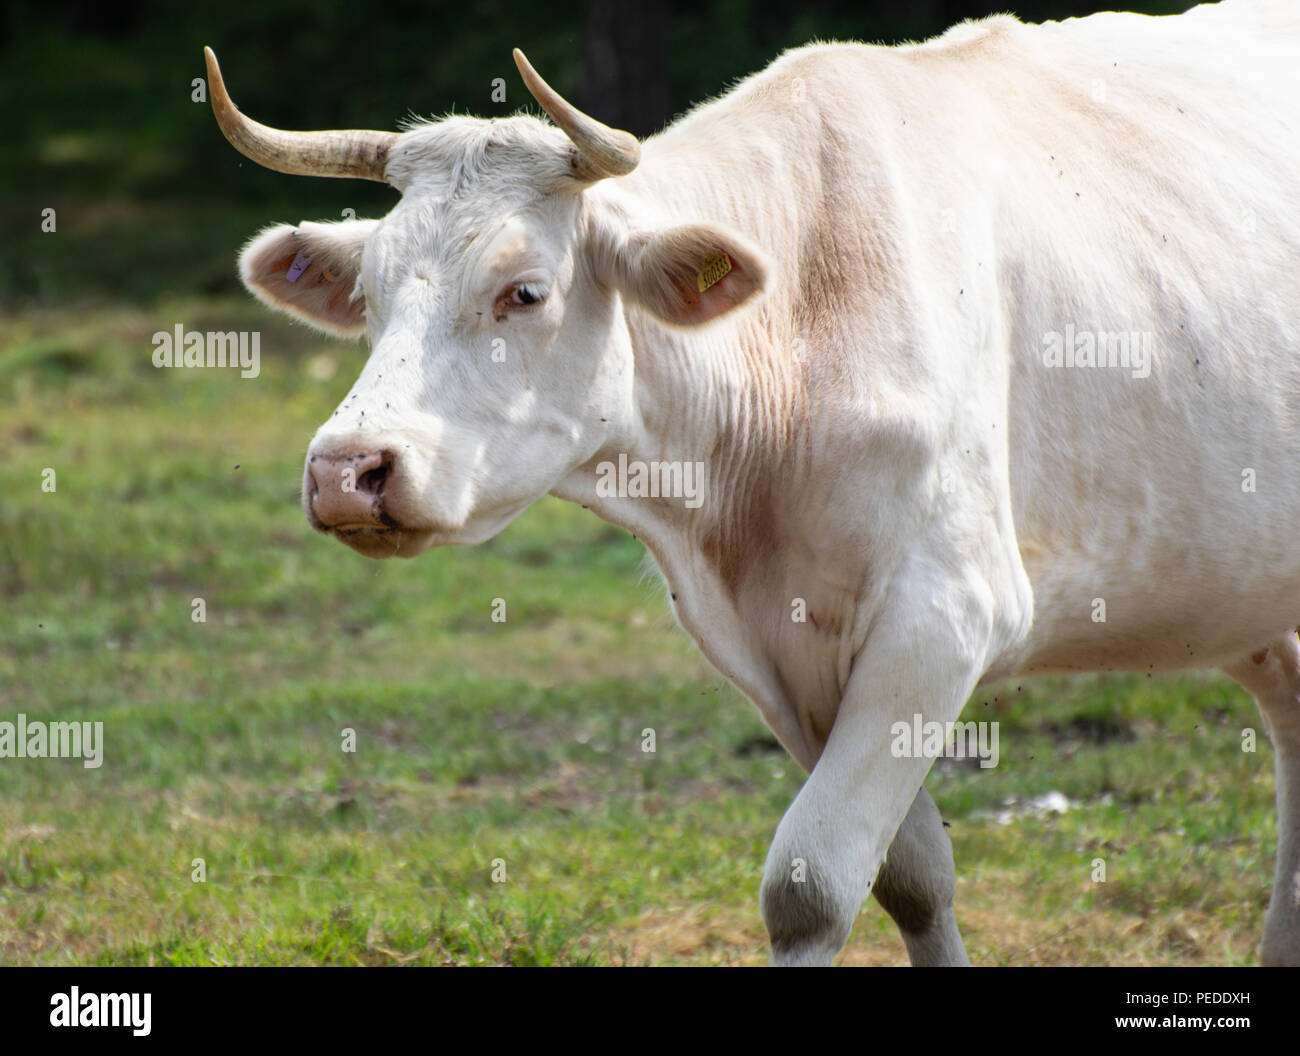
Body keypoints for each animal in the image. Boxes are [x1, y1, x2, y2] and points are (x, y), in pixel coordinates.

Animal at [203, 0, 1300, 966]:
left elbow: (810, 882)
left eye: (525, 291)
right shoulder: (769, 649)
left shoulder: (947, 611)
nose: (347, 470)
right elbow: (910, 876)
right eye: (371, 294)